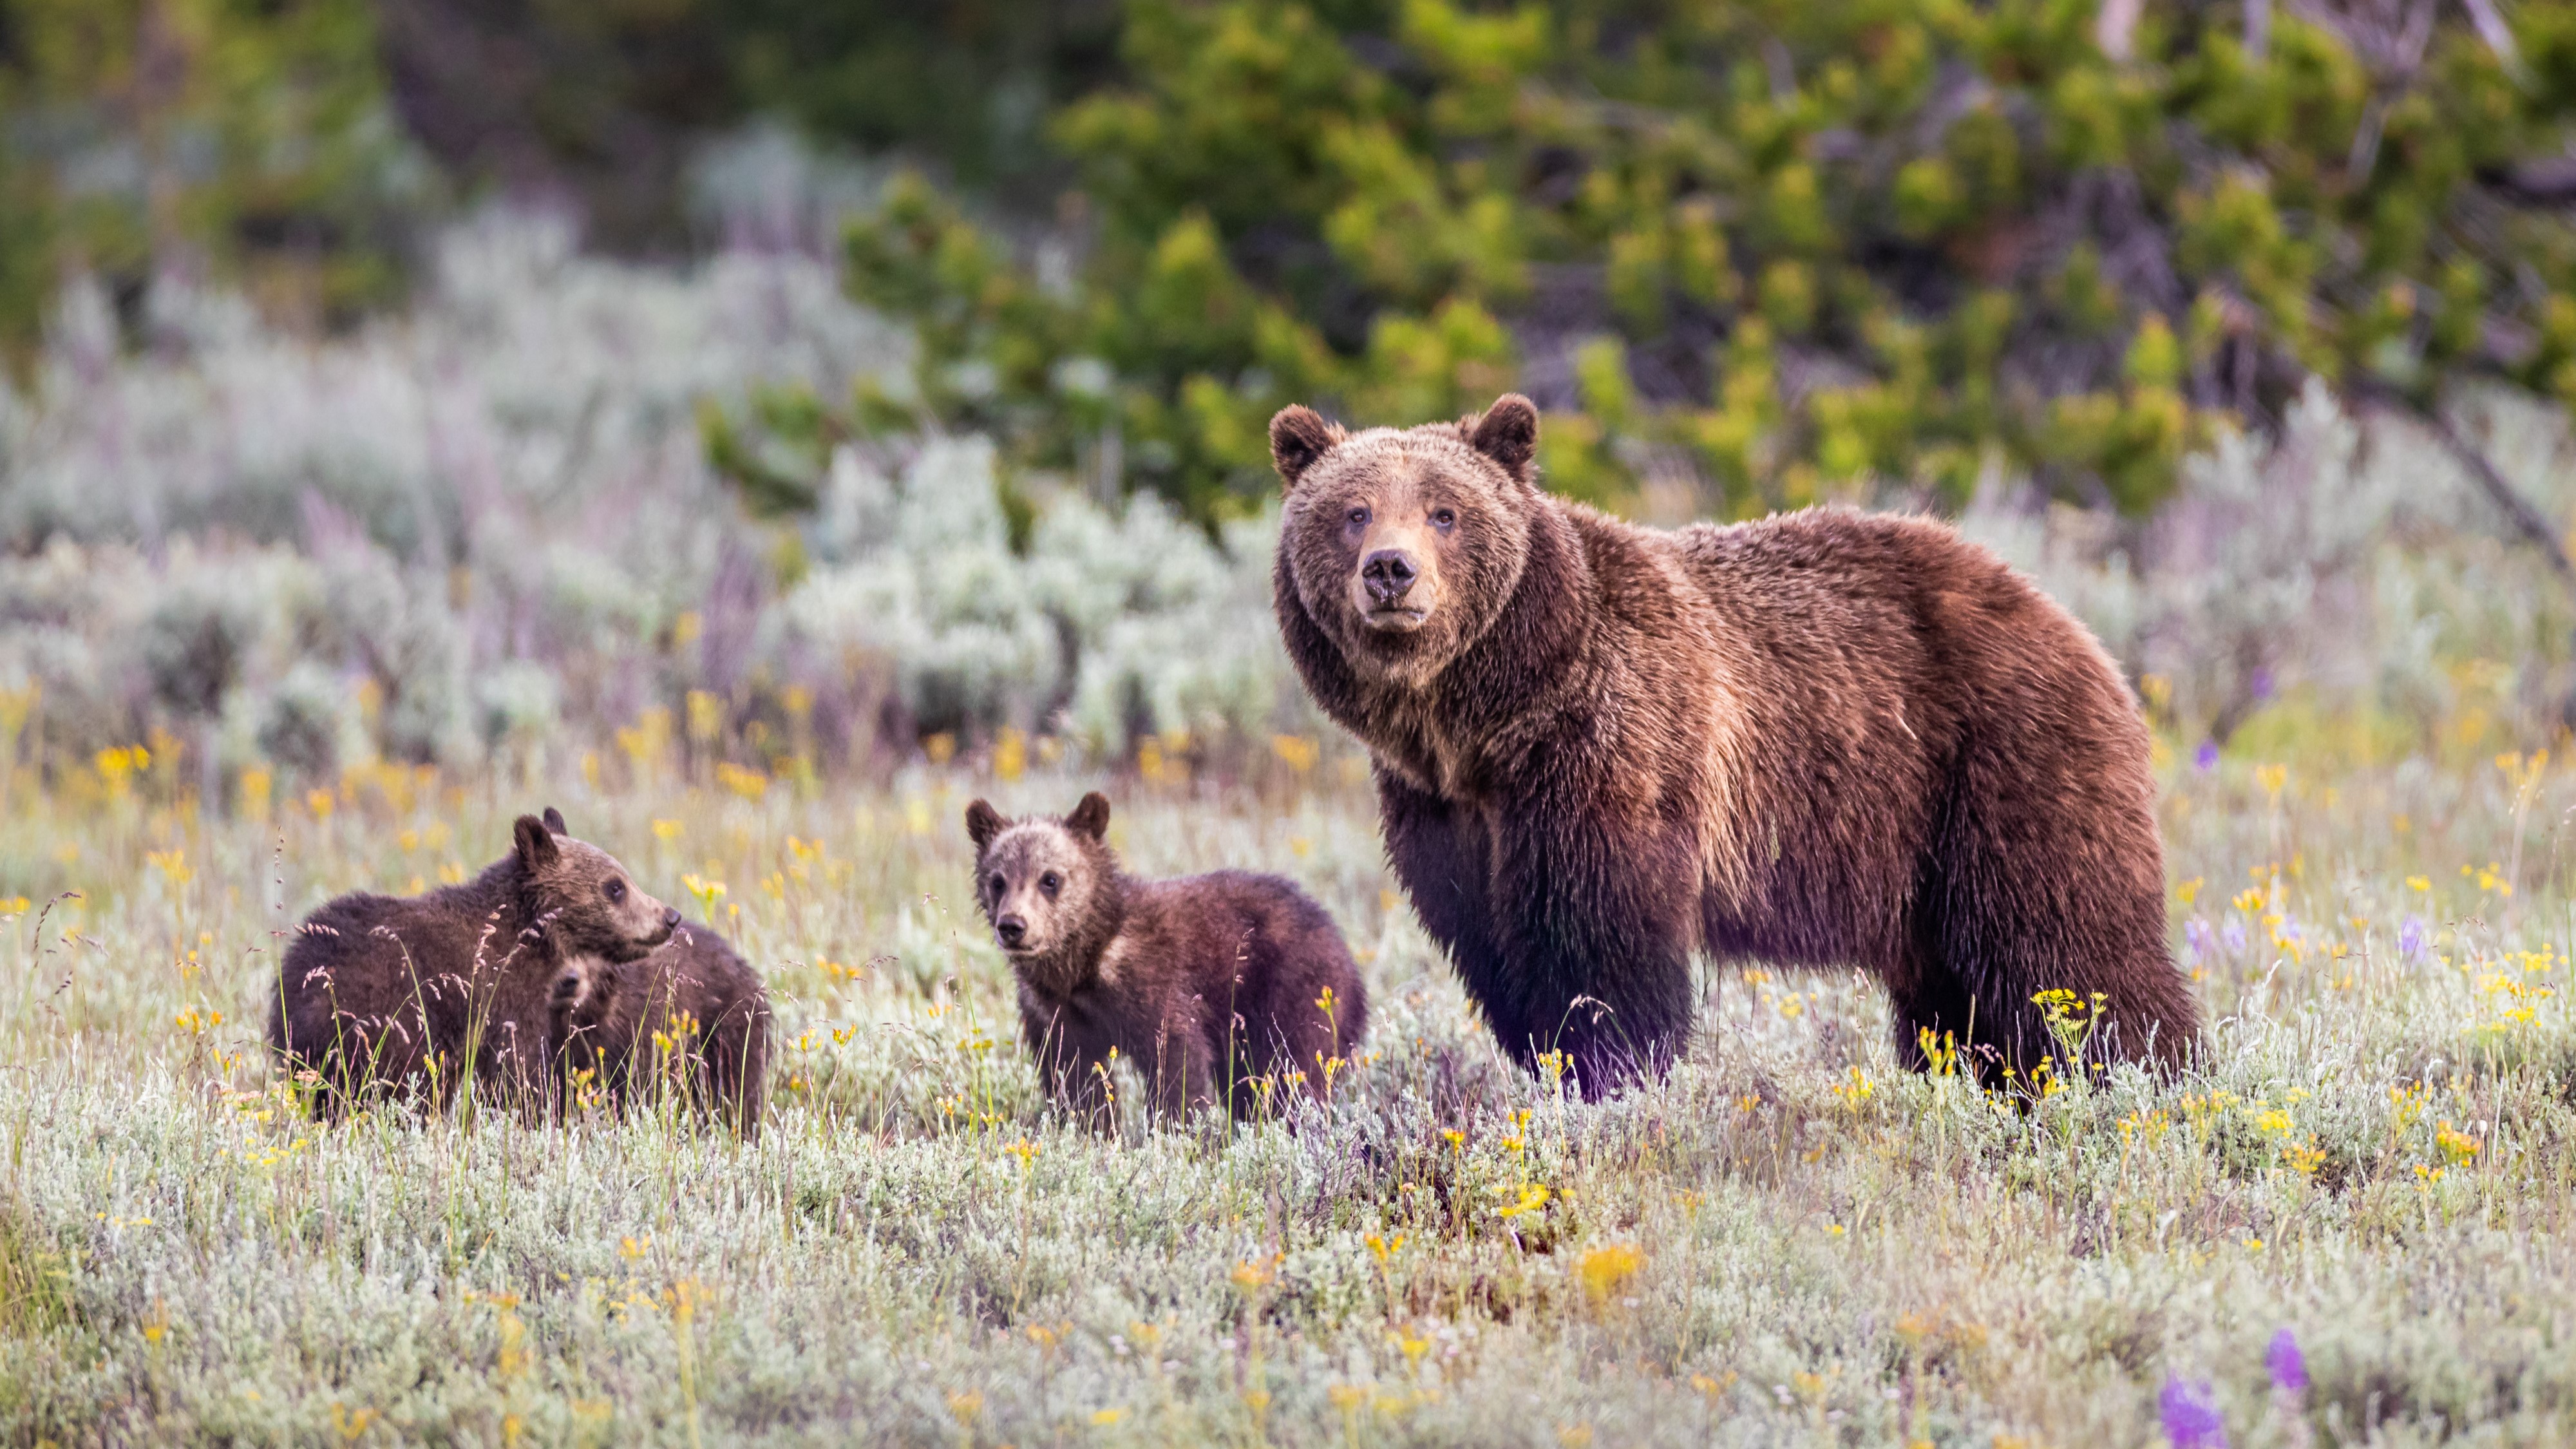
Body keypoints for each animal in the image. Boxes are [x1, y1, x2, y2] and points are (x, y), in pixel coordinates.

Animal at [269, 806, 680, 1117]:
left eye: (622, 878)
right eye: (615, 886)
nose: (670, 916)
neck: (527, 938)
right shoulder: (499, 997)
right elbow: (517, 1067)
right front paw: (537, 1109)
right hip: (376, 1024)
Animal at [964, 792, 1368, 1125]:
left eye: (1050, 879)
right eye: (998, 880)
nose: (1013, 926)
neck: (1085, 964)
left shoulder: (1157, 983)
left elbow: (1177, 1062)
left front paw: (1179, 1131)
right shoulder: (1056, 1013)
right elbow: (1074, 1078)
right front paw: (1091, 1130)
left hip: (1293, 992)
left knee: (1295, 1072)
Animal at [1268, 392, 2199, 1095]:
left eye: (1445, 511)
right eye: (1352, 512)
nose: (1391, 570)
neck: (1486, 717)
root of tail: (2076, 627)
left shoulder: (1613, 749)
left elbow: (1603, 945)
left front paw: (1614, 1072)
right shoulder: (1445, 808)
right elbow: (1494, 948)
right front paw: (1551, 1060)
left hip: (1999, 765)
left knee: (2067, 950)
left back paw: (2144, 1078)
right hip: (1925, 858)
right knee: (1957, 994)